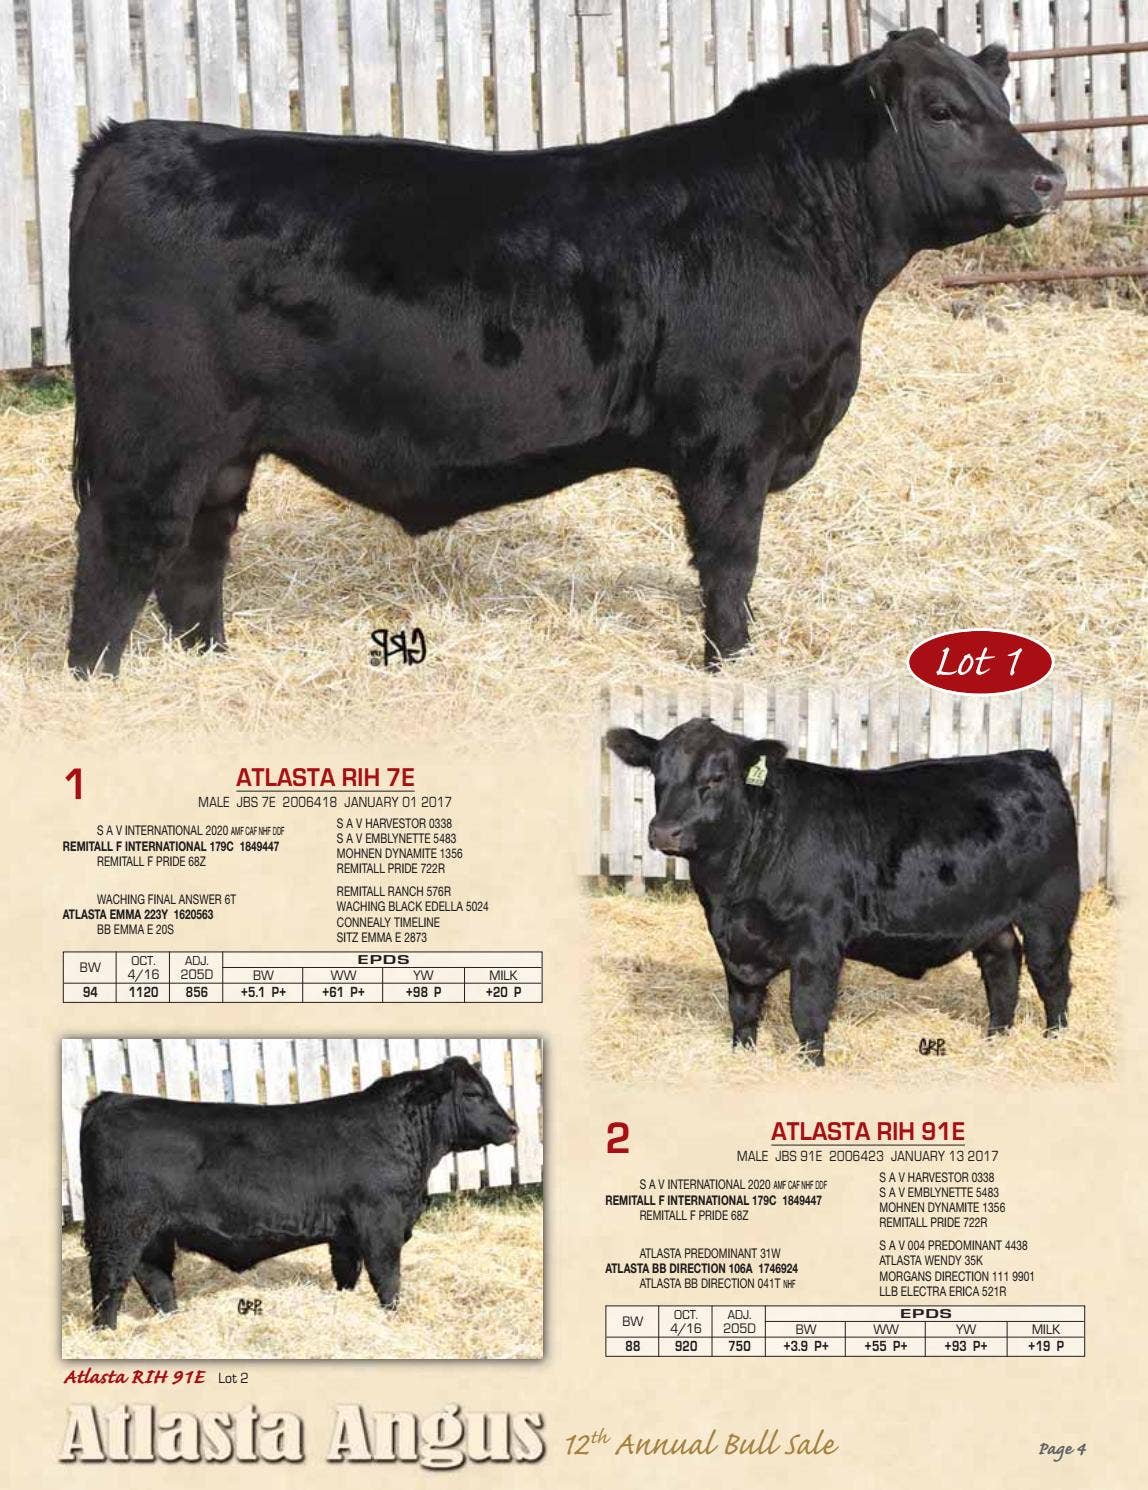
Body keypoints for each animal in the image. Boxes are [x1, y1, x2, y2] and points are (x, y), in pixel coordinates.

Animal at [65, 28, 1064, 677]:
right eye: (942, 110)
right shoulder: (731, 438)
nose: (1050, 178)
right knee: (118, 557)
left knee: (195, 561)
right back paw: (98, 684)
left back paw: (212, 666)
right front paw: (729, 663)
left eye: (1003, 101)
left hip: (223, 450)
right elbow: (729, 560)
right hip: (152, 434)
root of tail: (133, 138)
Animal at [78, 1055, 518, 1329]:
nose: (514, 1128)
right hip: (120, 1228)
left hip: (154, 1233)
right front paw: (393, 1315)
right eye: (473, 1094)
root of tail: (109, 1099)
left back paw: (172, 1318)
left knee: (155, 1279)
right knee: (108, 1279)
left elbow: (347, 1273)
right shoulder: (381, 1220)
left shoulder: (346, 1232)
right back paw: (106, 1333)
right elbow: (387, 1276)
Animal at [606, 718, 1080, 1066]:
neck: (731, 890)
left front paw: (811, 1066)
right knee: (1002, 965)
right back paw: (995, 1038)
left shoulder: (817, 942)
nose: (665, 831)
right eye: (658, 774)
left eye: (717, 777)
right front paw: (741, 1055)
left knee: (1051, 973)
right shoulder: (732, 943)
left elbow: (807, 1012)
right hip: (989, 915)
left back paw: (1055, 1038)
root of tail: (1029, 757)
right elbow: (742, 1008)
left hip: (1049, 908)